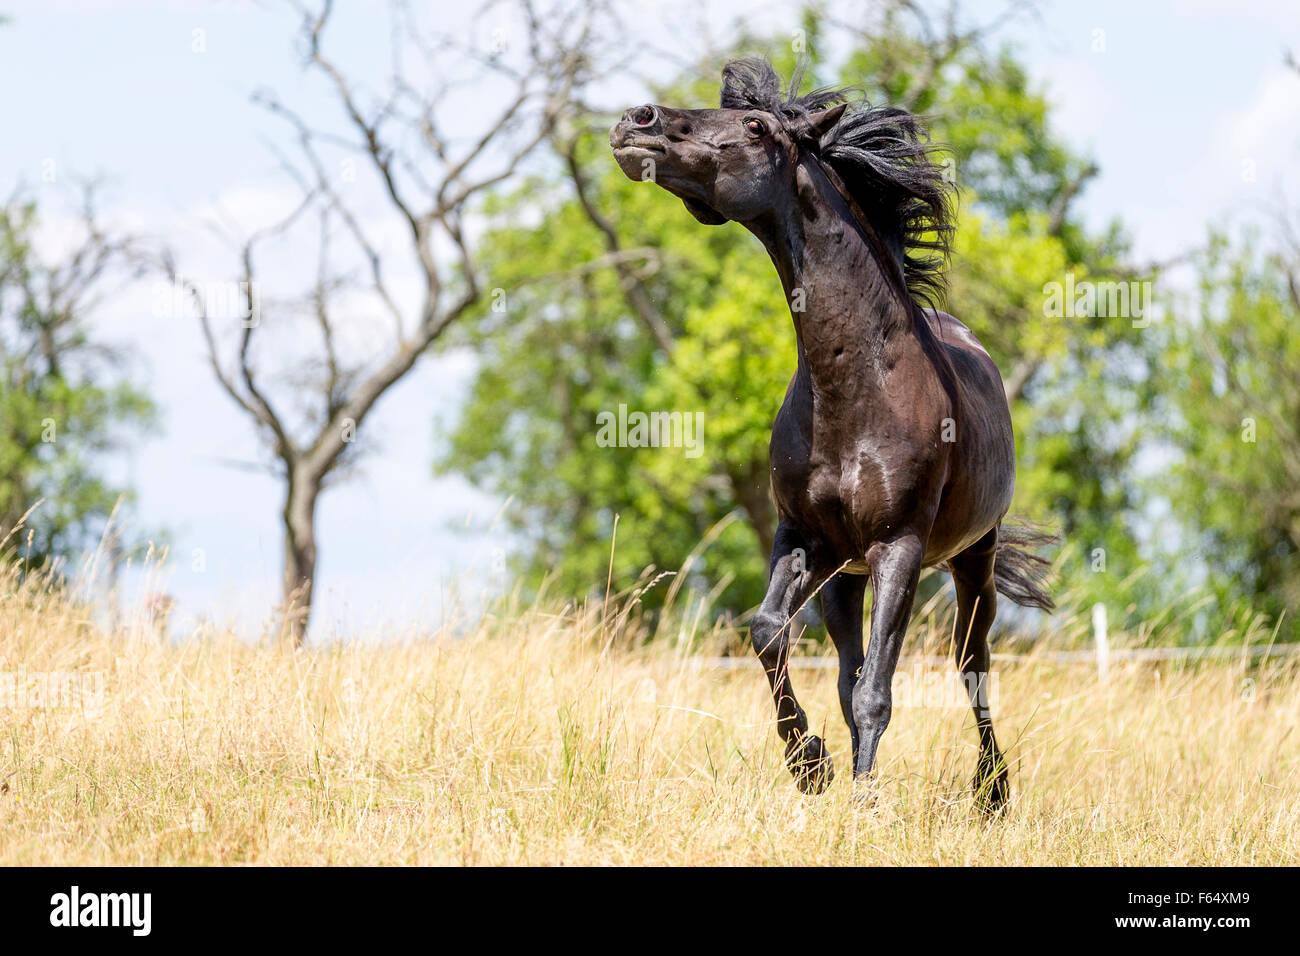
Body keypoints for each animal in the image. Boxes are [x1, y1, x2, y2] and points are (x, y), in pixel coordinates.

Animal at [610, 58, 1053, 810]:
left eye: (755, 125)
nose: (635, 121)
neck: (858, 389)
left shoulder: (899, 547)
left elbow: (880, 689)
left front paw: (861, 798)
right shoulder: (805, 538)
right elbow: (770, 634)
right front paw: (810, 764)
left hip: (972, 558)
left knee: (972, 663)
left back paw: (991, 792)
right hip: (845, 579)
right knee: (849, 671)